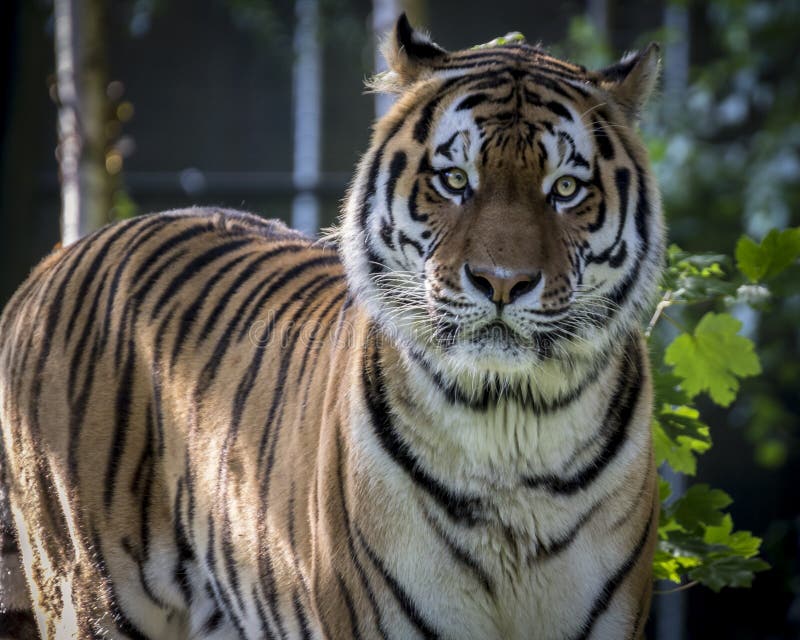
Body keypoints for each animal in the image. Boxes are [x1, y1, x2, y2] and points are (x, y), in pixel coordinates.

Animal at [0, 14, 664, 640]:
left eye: (566, 188)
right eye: (455, 180)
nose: (502, 282)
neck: (511, 425)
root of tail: (52, 262)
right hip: (86, 591)